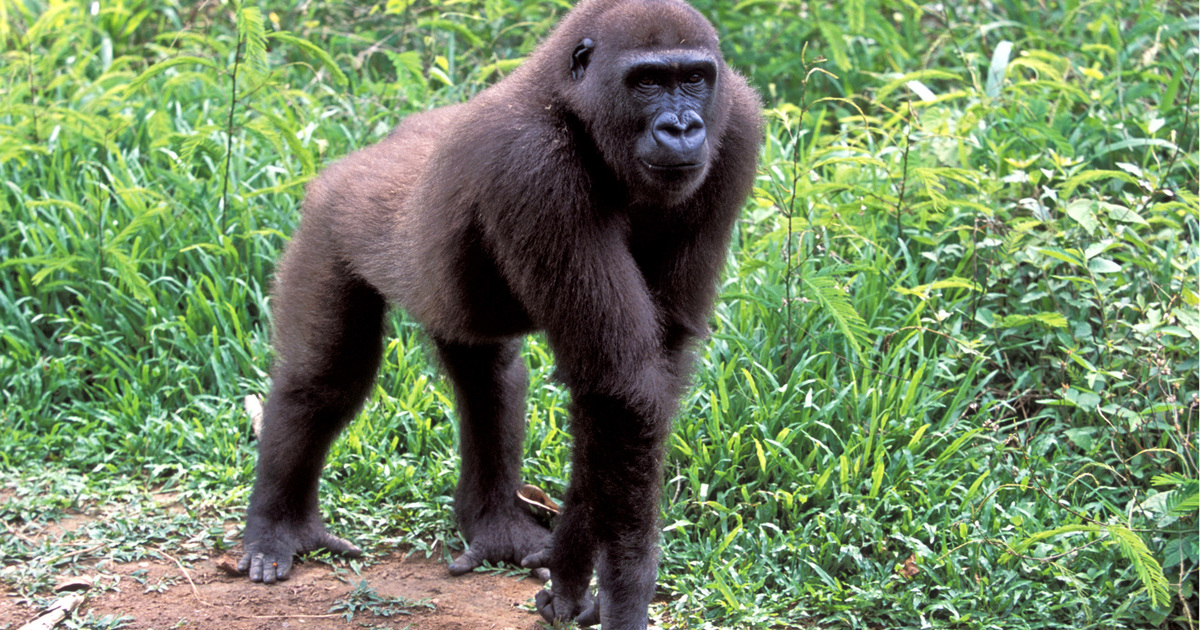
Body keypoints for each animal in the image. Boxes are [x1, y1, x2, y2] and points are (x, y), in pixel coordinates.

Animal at [237, 1, 762, 628]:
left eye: (695, 78)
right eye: (648, 82)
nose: (681, 128)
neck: (570, 104)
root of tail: (363, 156)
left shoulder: (738, 129)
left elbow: (636, 381)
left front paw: (571, 564)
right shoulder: (534, 164)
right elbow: (621, 388)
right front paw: (626, 590)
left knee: (489, 380)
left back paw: (493, 526)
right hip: (328, 221)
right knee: (324, 379)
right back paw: (279, 524)